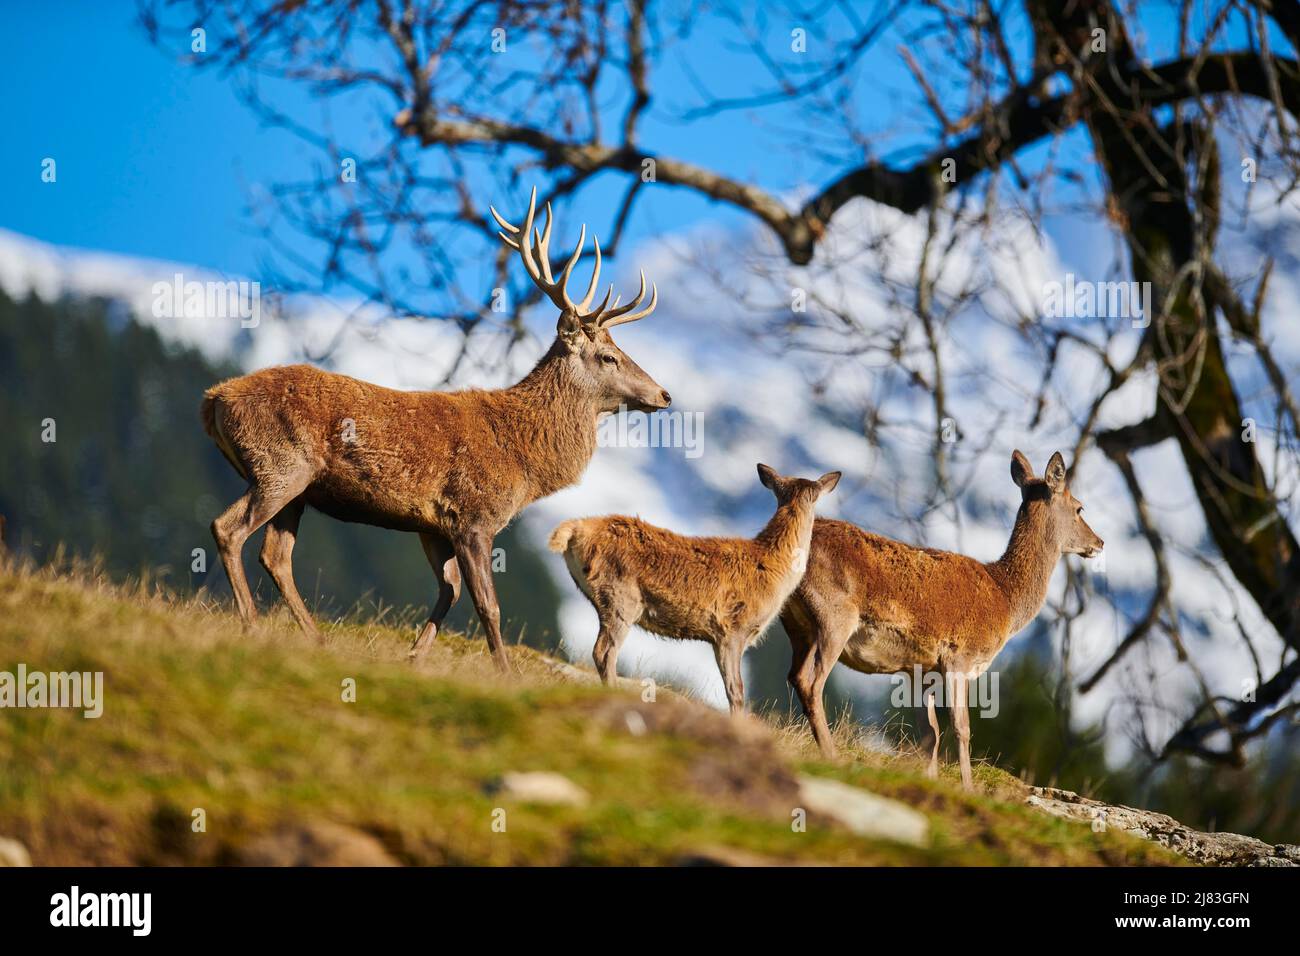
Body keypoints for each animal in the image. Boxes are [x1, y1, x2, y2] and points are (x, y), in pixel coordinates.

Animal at [200, 188, 671, 673]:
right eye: (609, 357)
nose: (664, 394)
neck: (524, 462)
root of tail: (214, 400)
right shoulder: (473, 515)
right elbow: (488, 604)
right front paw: (505, 673)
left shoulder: (432, 525)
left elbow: (450, 590)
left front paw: (414, 656)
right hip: (280, 466)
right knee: (228, 528)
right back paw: (252, 625)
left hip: (299, 488)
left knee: (275, 556)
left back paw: (315, 637)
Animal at [548, 464, 840, 712]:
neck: (771, 567)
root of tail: (576, 529)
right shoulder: (731, 629)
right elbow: (736, 691)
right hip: (621, 596)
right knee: (604, 652)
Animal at [780, 450, 1103, 789]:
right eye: (1079, 507)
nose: (1099, 542)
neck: (1006, 600)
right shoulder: (960, 655)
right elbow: (962, 727)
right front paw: (969, 787)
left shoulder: (921, 669)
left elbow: (930, 734)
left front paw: (931, 778)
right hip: (835, 616)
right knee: (812, 682)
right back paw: (831, 755)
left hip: (796, 624)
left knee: (793, 675)